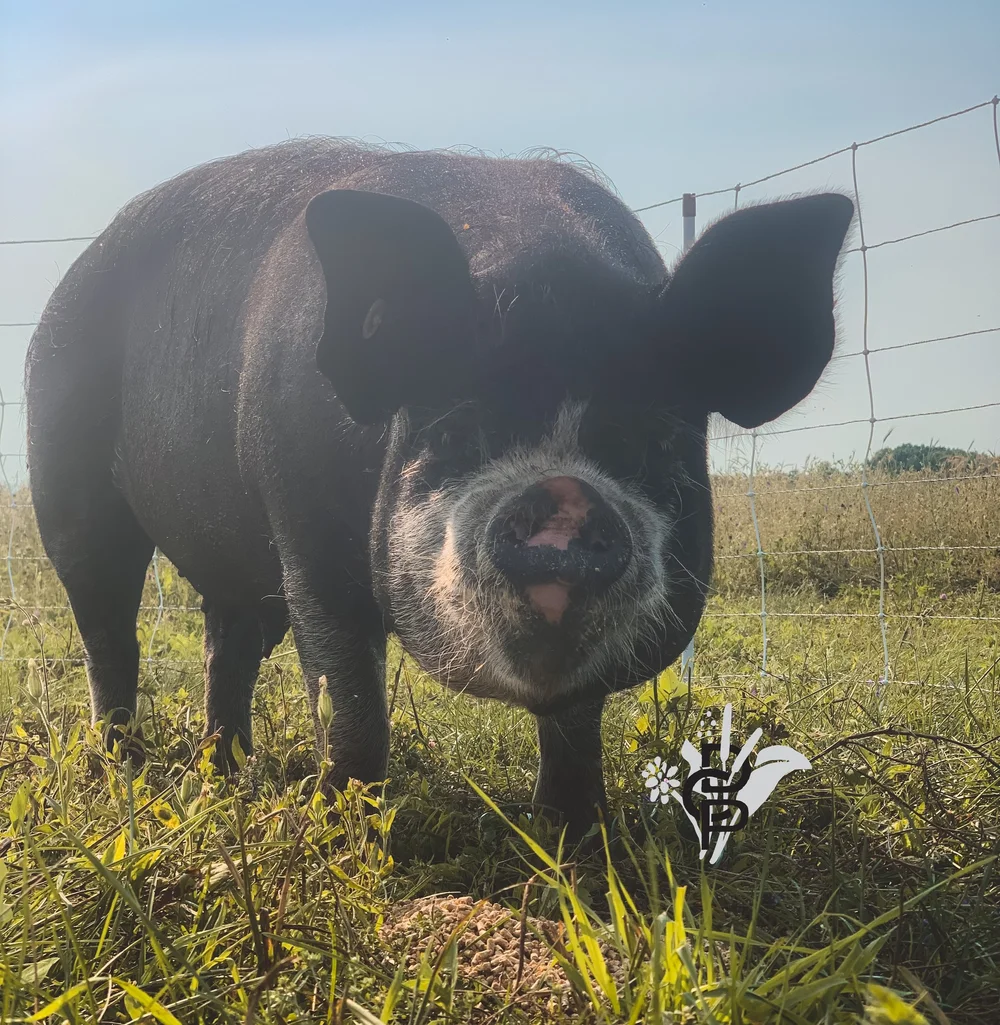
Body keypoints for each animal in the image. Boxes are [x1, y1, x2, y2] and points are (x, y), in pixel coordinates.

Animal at [25, 139, 853, 828]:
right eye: (455, 433)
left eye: (655, 444)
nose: (563, 500)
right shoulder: (307, 539)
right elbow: (350, 698)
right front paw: (344, 830)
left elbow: (576, 722)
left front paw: (578, 833)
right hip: (63, 472)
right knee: (109, 630)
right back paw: (126, 770)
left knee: (224, 645)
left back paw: (225, 773)